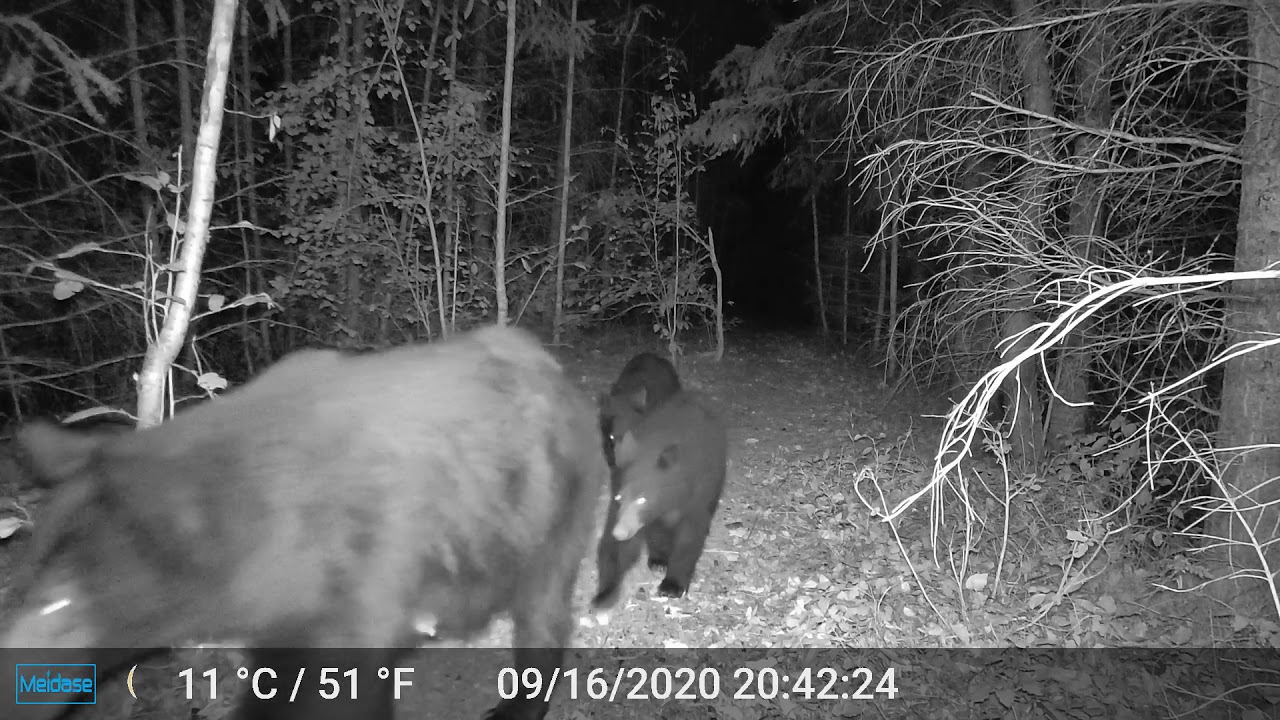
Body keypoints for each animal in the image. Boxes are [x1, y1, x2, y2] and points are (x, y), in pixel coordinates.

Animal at [1, 324, 608, 720]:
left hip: (557, 509)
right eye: (22, 588)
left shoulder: (361, 575)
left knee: (543, 607)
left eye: (59, 609)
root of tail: (556, 369)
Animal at [592, 390, 727, 609]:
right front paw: (605, 591)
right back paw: (658, 559)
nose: (620, 532)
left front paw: (672, 585)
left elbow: (690, 536)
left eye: (642, 499)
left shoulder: (697, 495)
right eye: (620, 498)